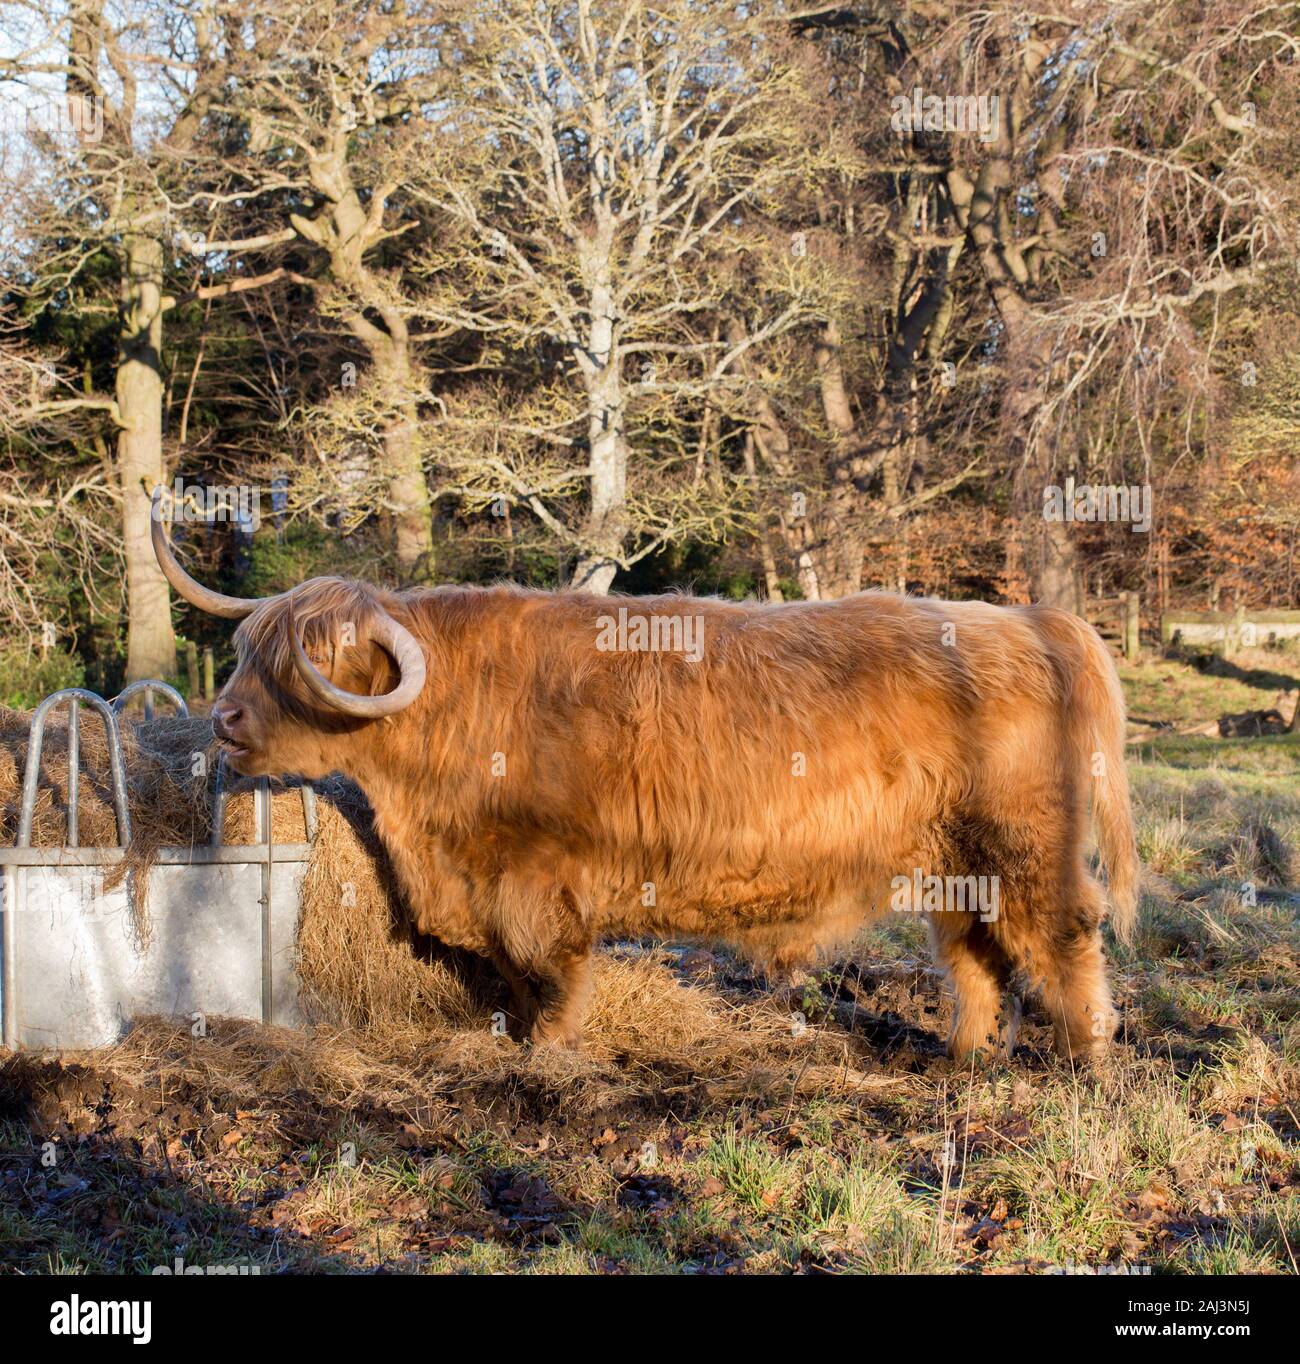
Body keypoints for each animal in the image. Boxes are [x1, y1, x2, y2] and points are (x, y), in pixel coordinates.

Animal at [151, 490, 1140, 1059]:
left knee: (1062, 936)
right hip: (955, 857)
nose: (223, 719)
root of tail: (1033, 622)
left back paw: (1084, 1062)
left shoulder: (538, 872)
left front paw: (549, 1051)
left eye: (307, 661)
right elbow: (514, 972)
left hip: (1027, 845)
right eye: (245, 651)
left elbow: (548, 965)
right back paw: (968, 1058)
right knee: (977, 953)